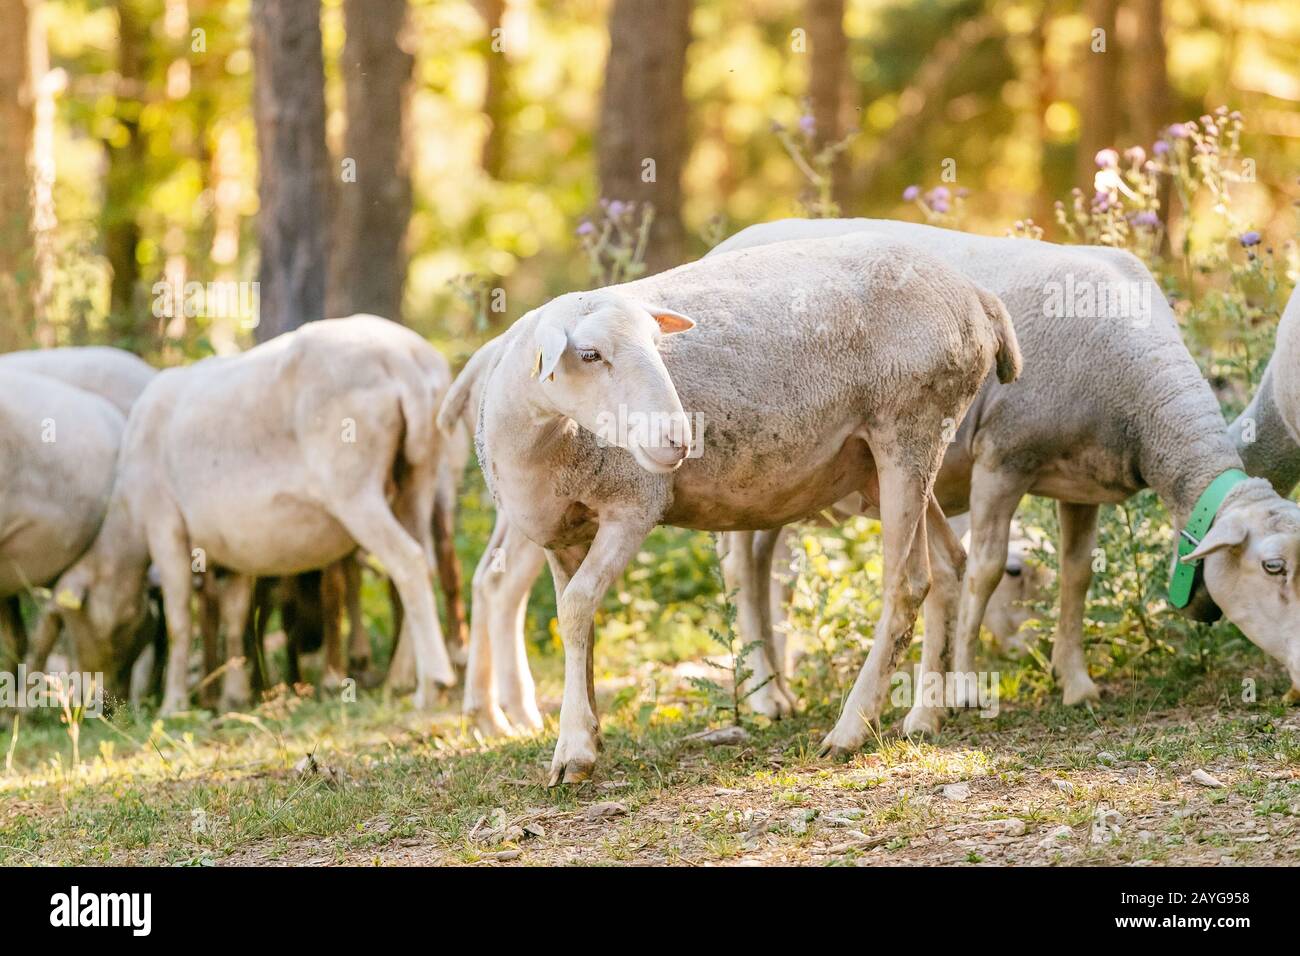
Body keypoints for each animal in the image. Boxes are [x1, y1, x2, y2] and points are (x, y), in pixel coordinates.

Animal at [51, 315, 457, 713]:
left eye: (74, 617)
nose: (98, 701)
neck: (125, 519)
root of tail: (406, 360)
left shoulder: (164, 522)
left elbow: (180, 618)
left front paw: (174, 704)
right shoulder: (234, 545)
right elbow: (235, 617)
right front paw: (234, 696)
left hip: (354, 486)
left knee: (408, 562)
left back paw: (431, 682)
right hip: (419, 472)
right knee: (425, 561)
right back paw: (402, 680)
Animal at [475, 232, 1021, 783]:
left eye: (656, 344)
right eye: (589, 354)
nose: (678, 439)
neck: (547, 439)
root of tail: (977, 296)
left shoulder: (633, 504)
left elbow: (576, 609)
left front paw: (573, 750)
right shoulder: (560, 533)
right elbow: (578, 624)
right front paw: (588, 730)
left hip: (910, 429)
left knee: (906, 584)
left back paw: (850, 730)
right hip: (884, 463)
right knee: (949, 568)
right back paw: (926, 716)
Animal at [711, 218, 1300, 731]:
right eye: (1272, 567)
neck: (1143, 400)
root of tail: (729, 242)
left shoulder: (1081, 481)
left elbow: (1077, 573)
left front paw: (1076, 683)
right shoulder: (1003, 457)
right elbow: (983, 570)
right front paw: (964, 688)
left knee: (768, 570)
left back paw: (780, 687)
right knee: (742, 571)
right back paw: (765, 698)